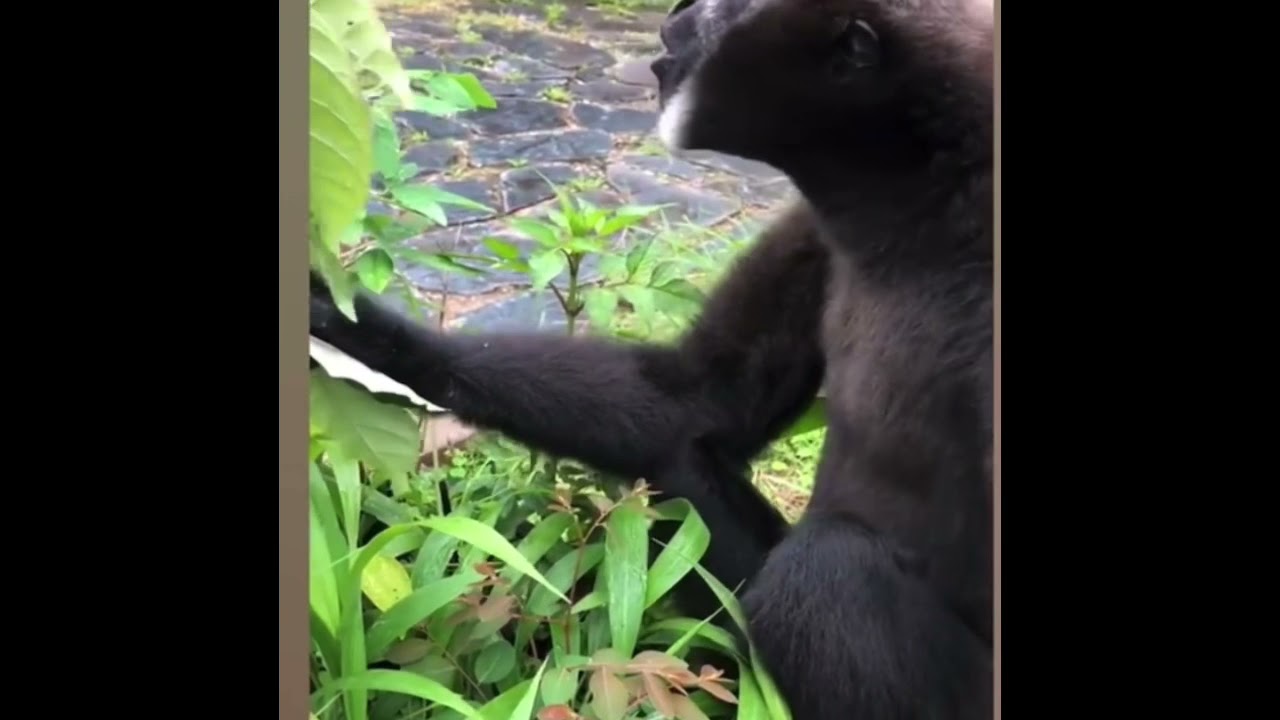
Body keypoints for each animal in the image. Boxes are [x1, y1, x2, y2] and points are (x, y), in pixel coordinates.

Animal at [309, 0, 994, 716]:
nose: (679, 17)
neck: (922, 198)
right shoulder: (811, 223)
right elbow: (699, 399)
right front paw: (368, 332)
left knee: (827, 570)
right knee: (680, 458)